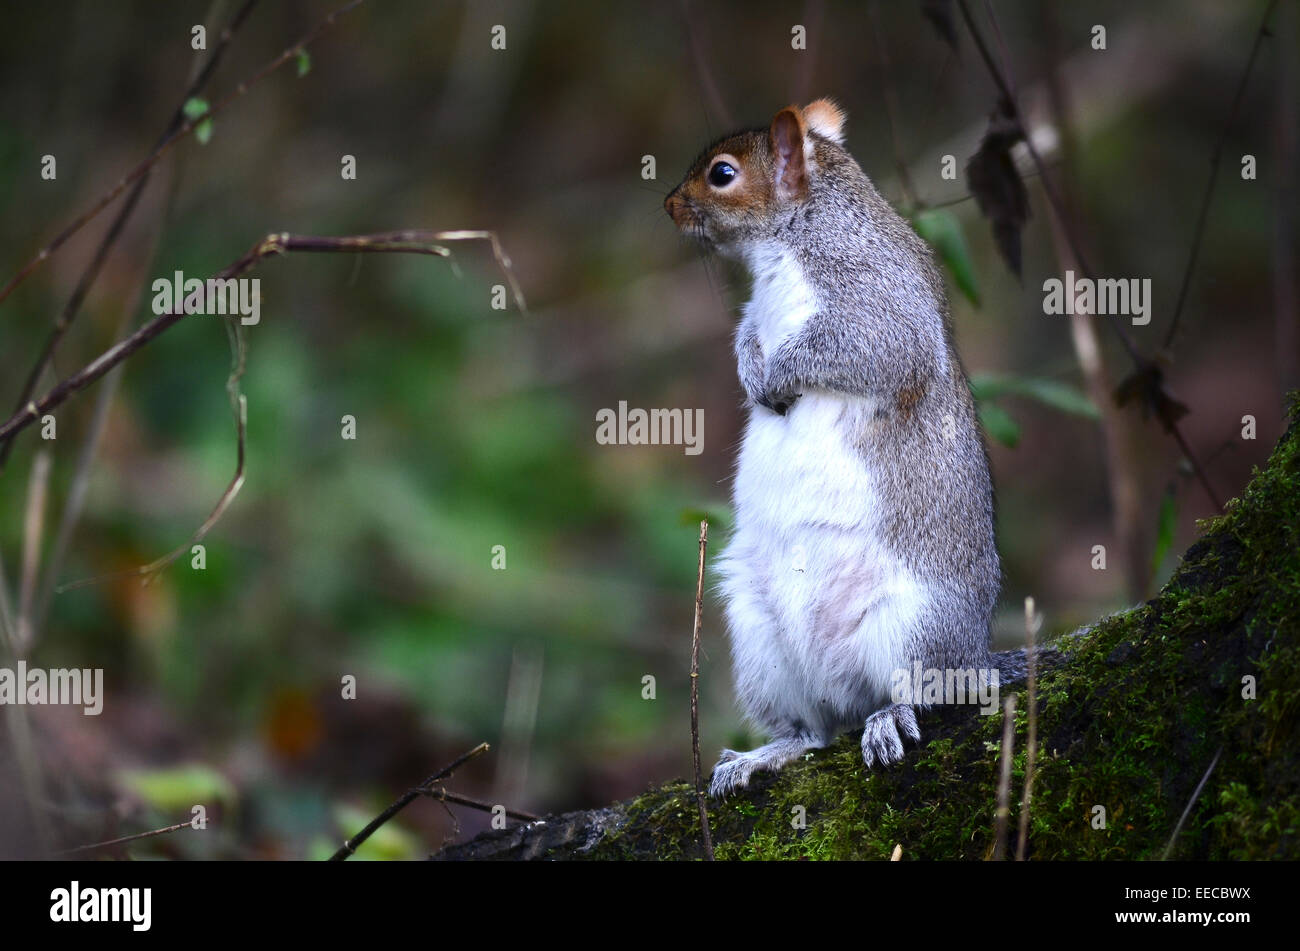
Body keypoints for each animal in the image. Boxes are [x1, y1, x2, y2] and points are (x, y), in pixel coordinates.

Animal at [665, 98, 1026, 797]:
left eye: (722, 174)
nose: (670, 204)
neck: (794, 238)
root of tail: (976, 657)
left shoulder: (877, 306)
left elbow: (859, 348)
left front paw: (778, 377)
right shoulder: (755, 312)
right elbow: (747, 334)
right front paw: (753, 374)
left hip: (914, 624)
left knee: (919, 694)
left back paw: (889, 718)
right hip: (761, 642)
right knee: (814, 730)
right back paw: (763, 754)